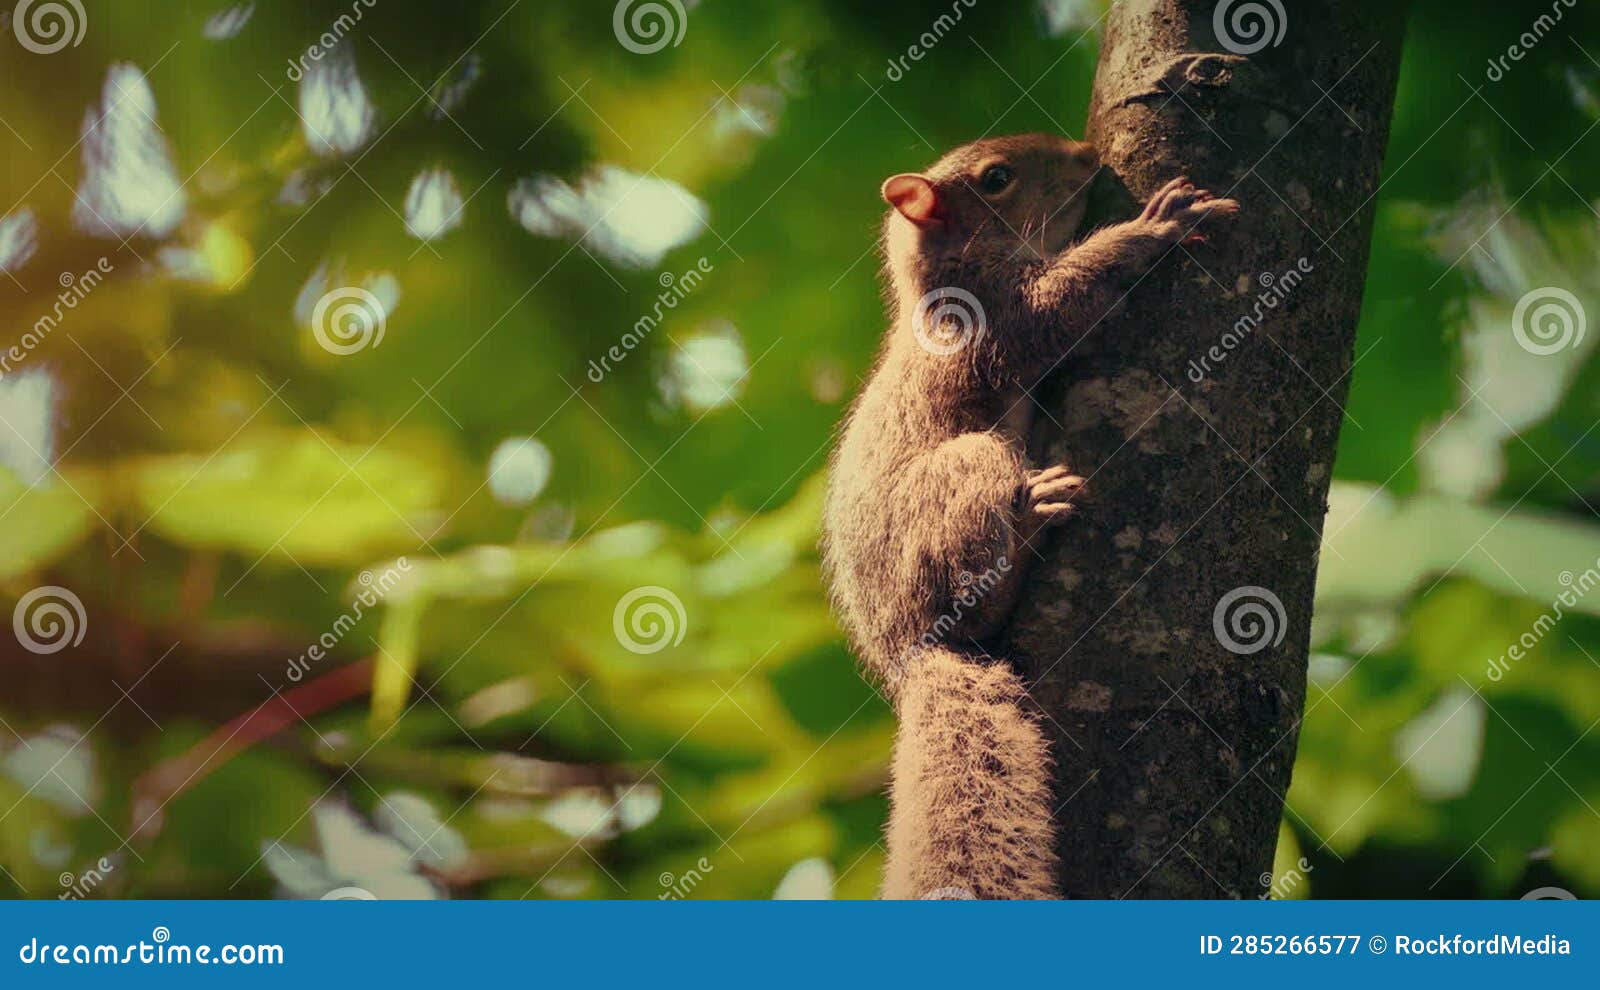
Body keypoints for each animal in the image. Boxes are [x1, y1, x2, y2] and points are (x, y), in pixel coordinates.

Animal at [821, 133, 1239, 899]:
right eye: (997, 178)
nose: (1084, 153)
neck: (942, 276)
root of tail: (909, 648)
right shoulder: (995, 315)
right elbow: (1054, 308)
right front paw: (1153, 228)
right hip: (966, 477)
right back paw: (1032, 525)